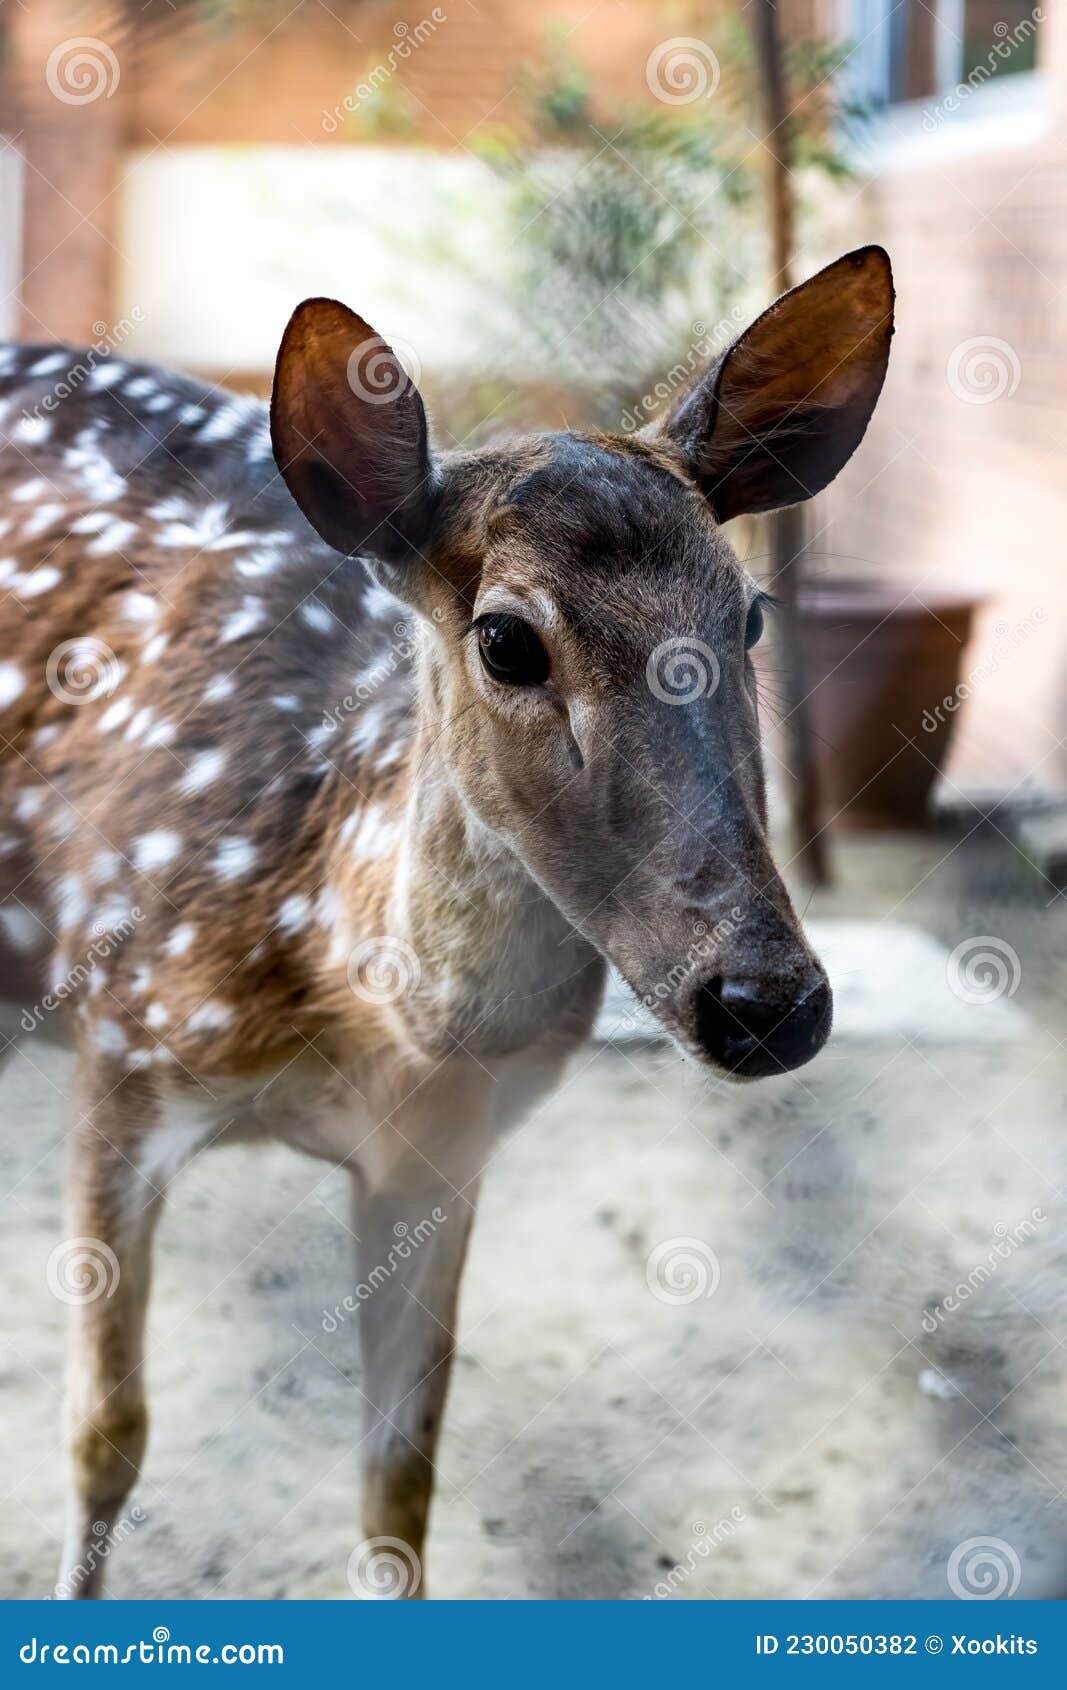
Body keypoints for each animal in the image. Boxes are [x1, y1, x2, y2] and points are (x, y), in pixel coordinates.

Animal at [0, 245, 893, 1599]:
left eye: (746, 615)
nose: (765, 998)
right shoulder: (121, 1043)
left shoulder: (444, 1154)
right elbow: (105, 1433)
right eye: (507, 638)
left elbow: (400, 1480)